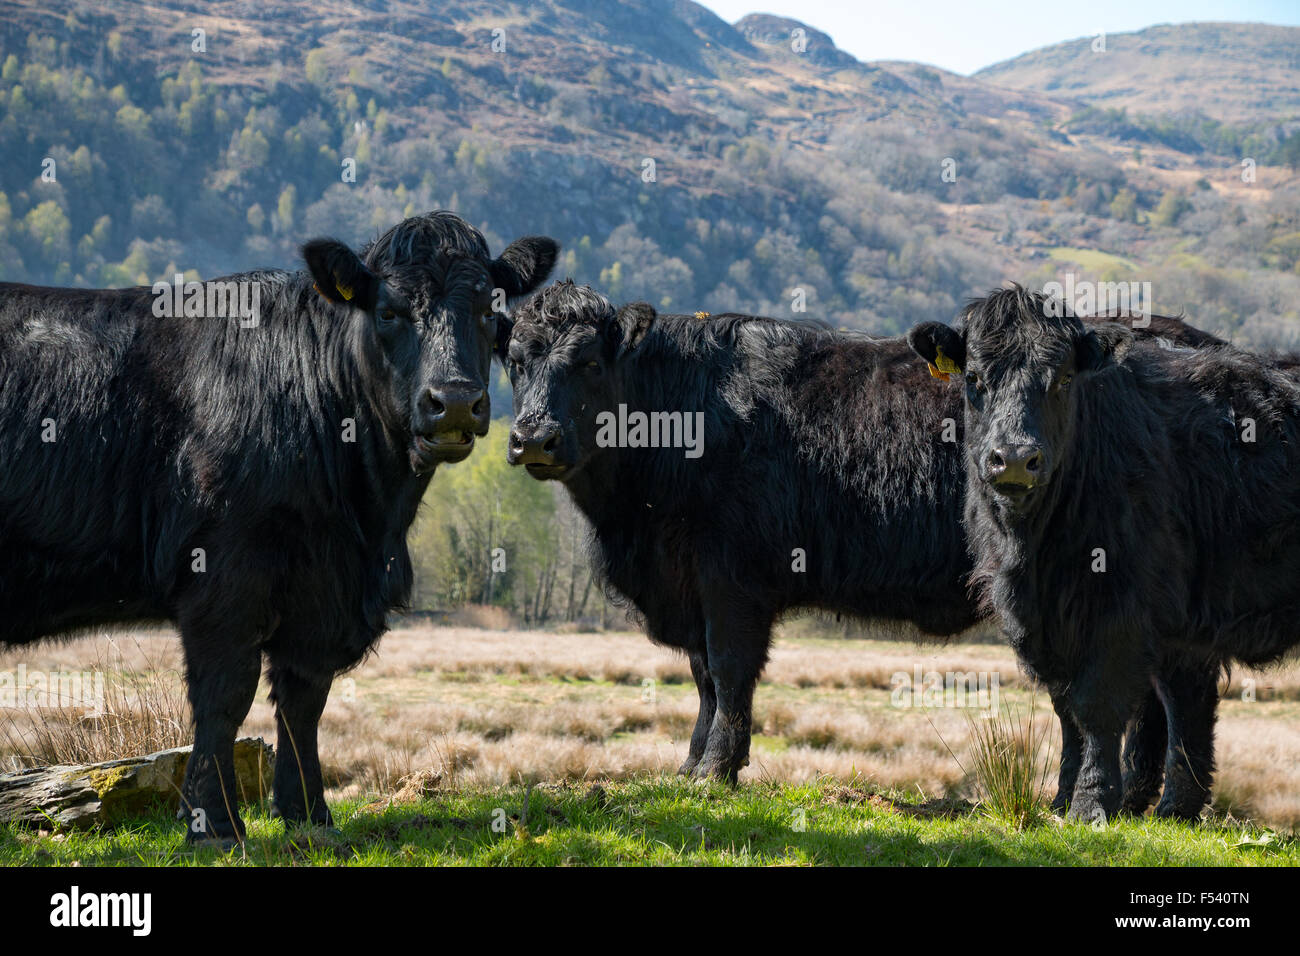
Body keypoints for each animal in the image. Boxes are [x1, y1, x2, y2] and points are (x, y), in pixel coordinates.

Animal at [0, 211, 557, 844]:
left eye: (490, 310)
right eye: (390, 311)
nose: (457, 402)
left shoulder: (322, 591)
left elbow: (303, 700)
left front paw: (310, 816)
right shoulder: (225, 574)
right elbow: (225, 694)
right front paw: (214, 824)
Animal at [501, 280, 1225, 812]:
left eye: (589, 361)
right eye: (514, 361)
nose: (533, 437)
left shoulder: (730, 581)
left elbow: (729, 673)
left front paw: (715, 773)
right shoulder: (688, 588)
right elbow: (703, 678)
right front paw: (688, 767)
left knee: (1174, 692)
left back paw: (1155, 804)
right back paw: (1136, 801)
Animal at [907, 285, 1300, 822]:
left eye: (1063, 378)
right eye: (973, 378)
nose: (1015, 459)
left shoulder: (1121, 607)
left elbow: (1097, 705)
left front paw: (1091, 804)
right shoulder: (1042, 621)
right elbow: (1066, 708)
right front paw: (1061, 799)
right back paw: (1175, 809)